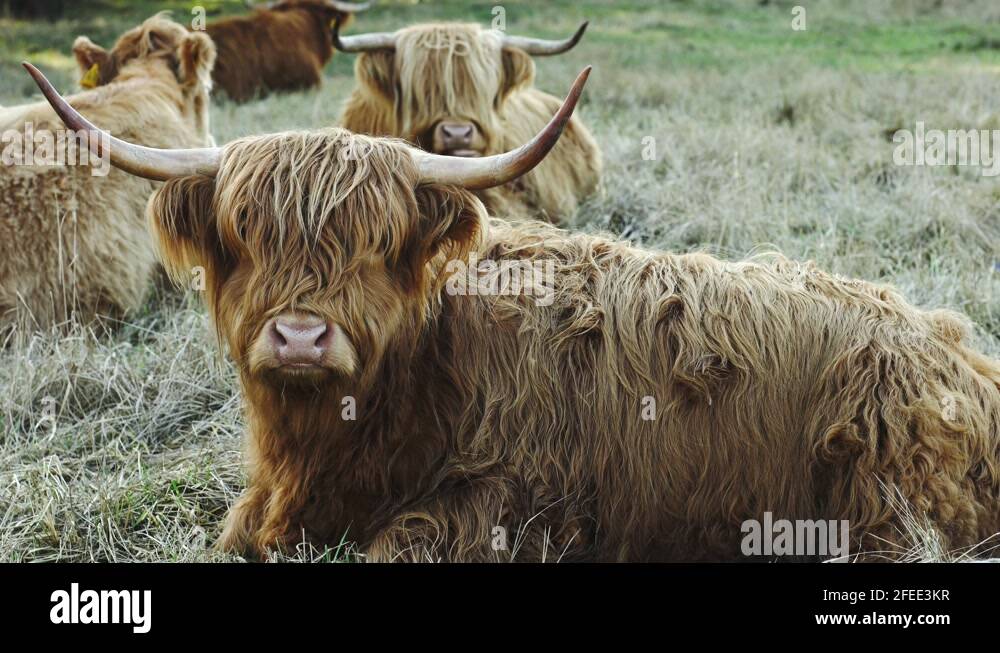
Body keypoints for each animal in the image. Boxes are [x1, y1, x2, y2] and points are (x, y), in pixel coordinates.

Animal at [28, 64, 1000, 563]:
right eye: (244, 232)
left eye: (377, 241)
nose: (300, 335)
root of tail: (957, 349)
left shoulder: (511, 504)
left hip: (884, 510)